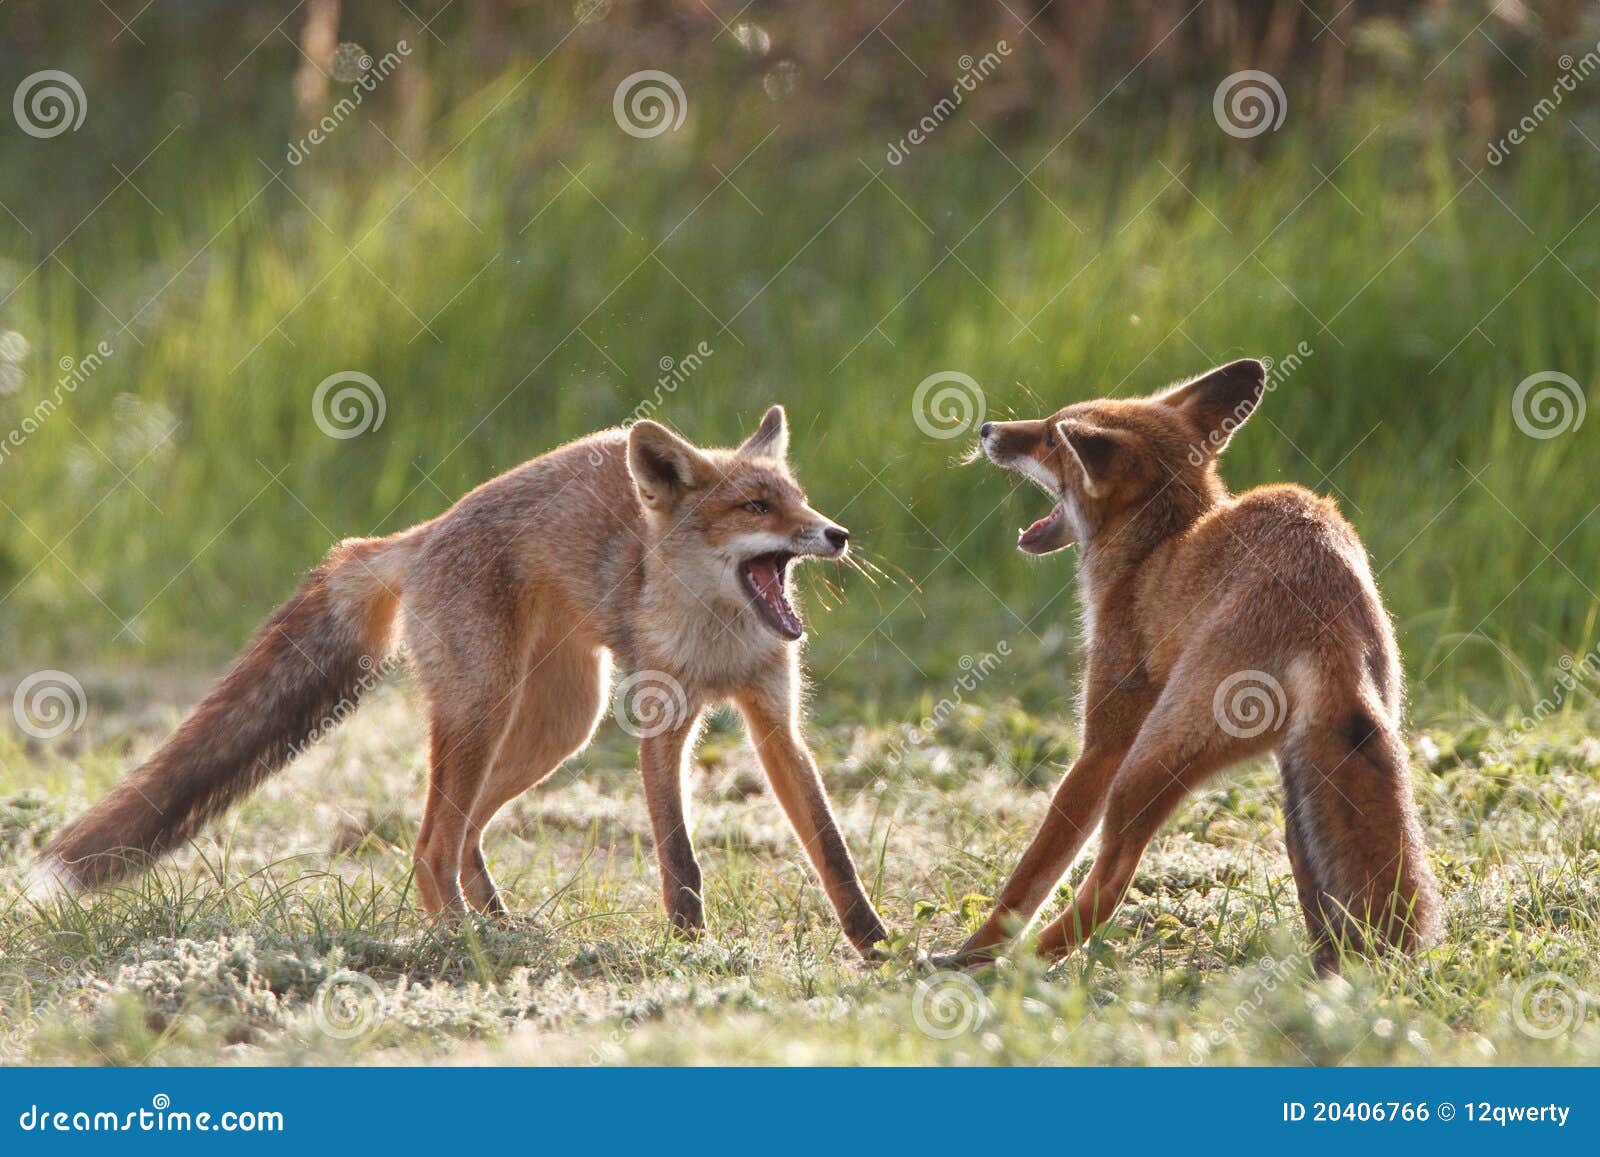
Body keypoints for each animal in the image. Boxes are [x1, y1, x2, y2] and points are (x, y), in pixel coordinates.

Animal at [31, 406, 892, 958]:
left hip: (557, 722)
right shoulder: (662, 723)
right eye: (756, 505)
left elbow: (831, 847)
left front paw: (875, 943)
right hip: (486, 712)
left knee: (466, 832)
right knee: (429, 843)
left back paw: (501, 930)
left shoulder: (774, 718)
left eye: (800, 499)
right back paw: (459, 944)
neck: (719, 643)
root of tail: (417, 534)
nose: (838, 533)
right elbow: (679, 856)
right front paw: (690, 949)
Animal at [952, 359, 1442, 972]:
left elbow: (1033, 872)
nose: (987, 428)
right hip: (1302, 769)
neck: (1152, 550)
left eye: (1050, 436)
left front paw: (972, 950)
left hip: (1146, 761)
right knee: (1314, 877)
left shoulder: (1105, 741)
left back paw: (1022, 965)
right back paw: (1325, 969)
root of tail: (1328, 624)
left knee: (1110, 883)